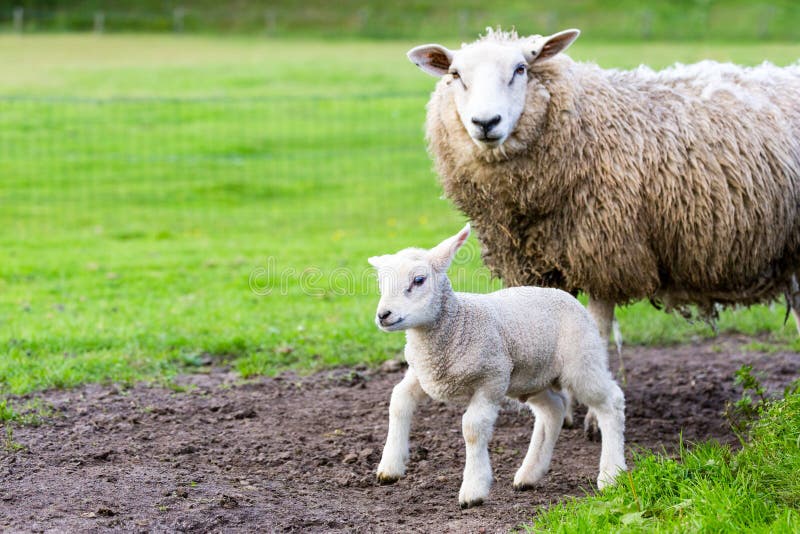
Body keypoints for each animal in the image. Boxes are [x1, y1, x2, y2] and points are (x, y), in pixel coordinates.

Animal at [369, 224, 626, 508]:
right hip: (531, 377)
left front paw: (473, 489)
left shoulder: (491, 380)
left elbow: (472, 428)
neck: (457, 324)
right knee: (553, 410)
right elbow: (398, 400)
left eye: (418, 280)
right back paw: (529, 475)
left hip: (581, 361)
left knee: (611, 402)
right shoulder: (422, 374)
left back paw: (611, 475)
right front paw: (390, 467)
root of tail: (566, 296)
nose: (383, 315)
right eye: (381, 284)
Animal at [407, 28, 800, 347]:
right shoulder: (534, 265)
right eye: (456, 75)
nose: (486, 122)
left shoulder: (604, 255)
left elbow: (595, 334)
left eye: (520, 69)